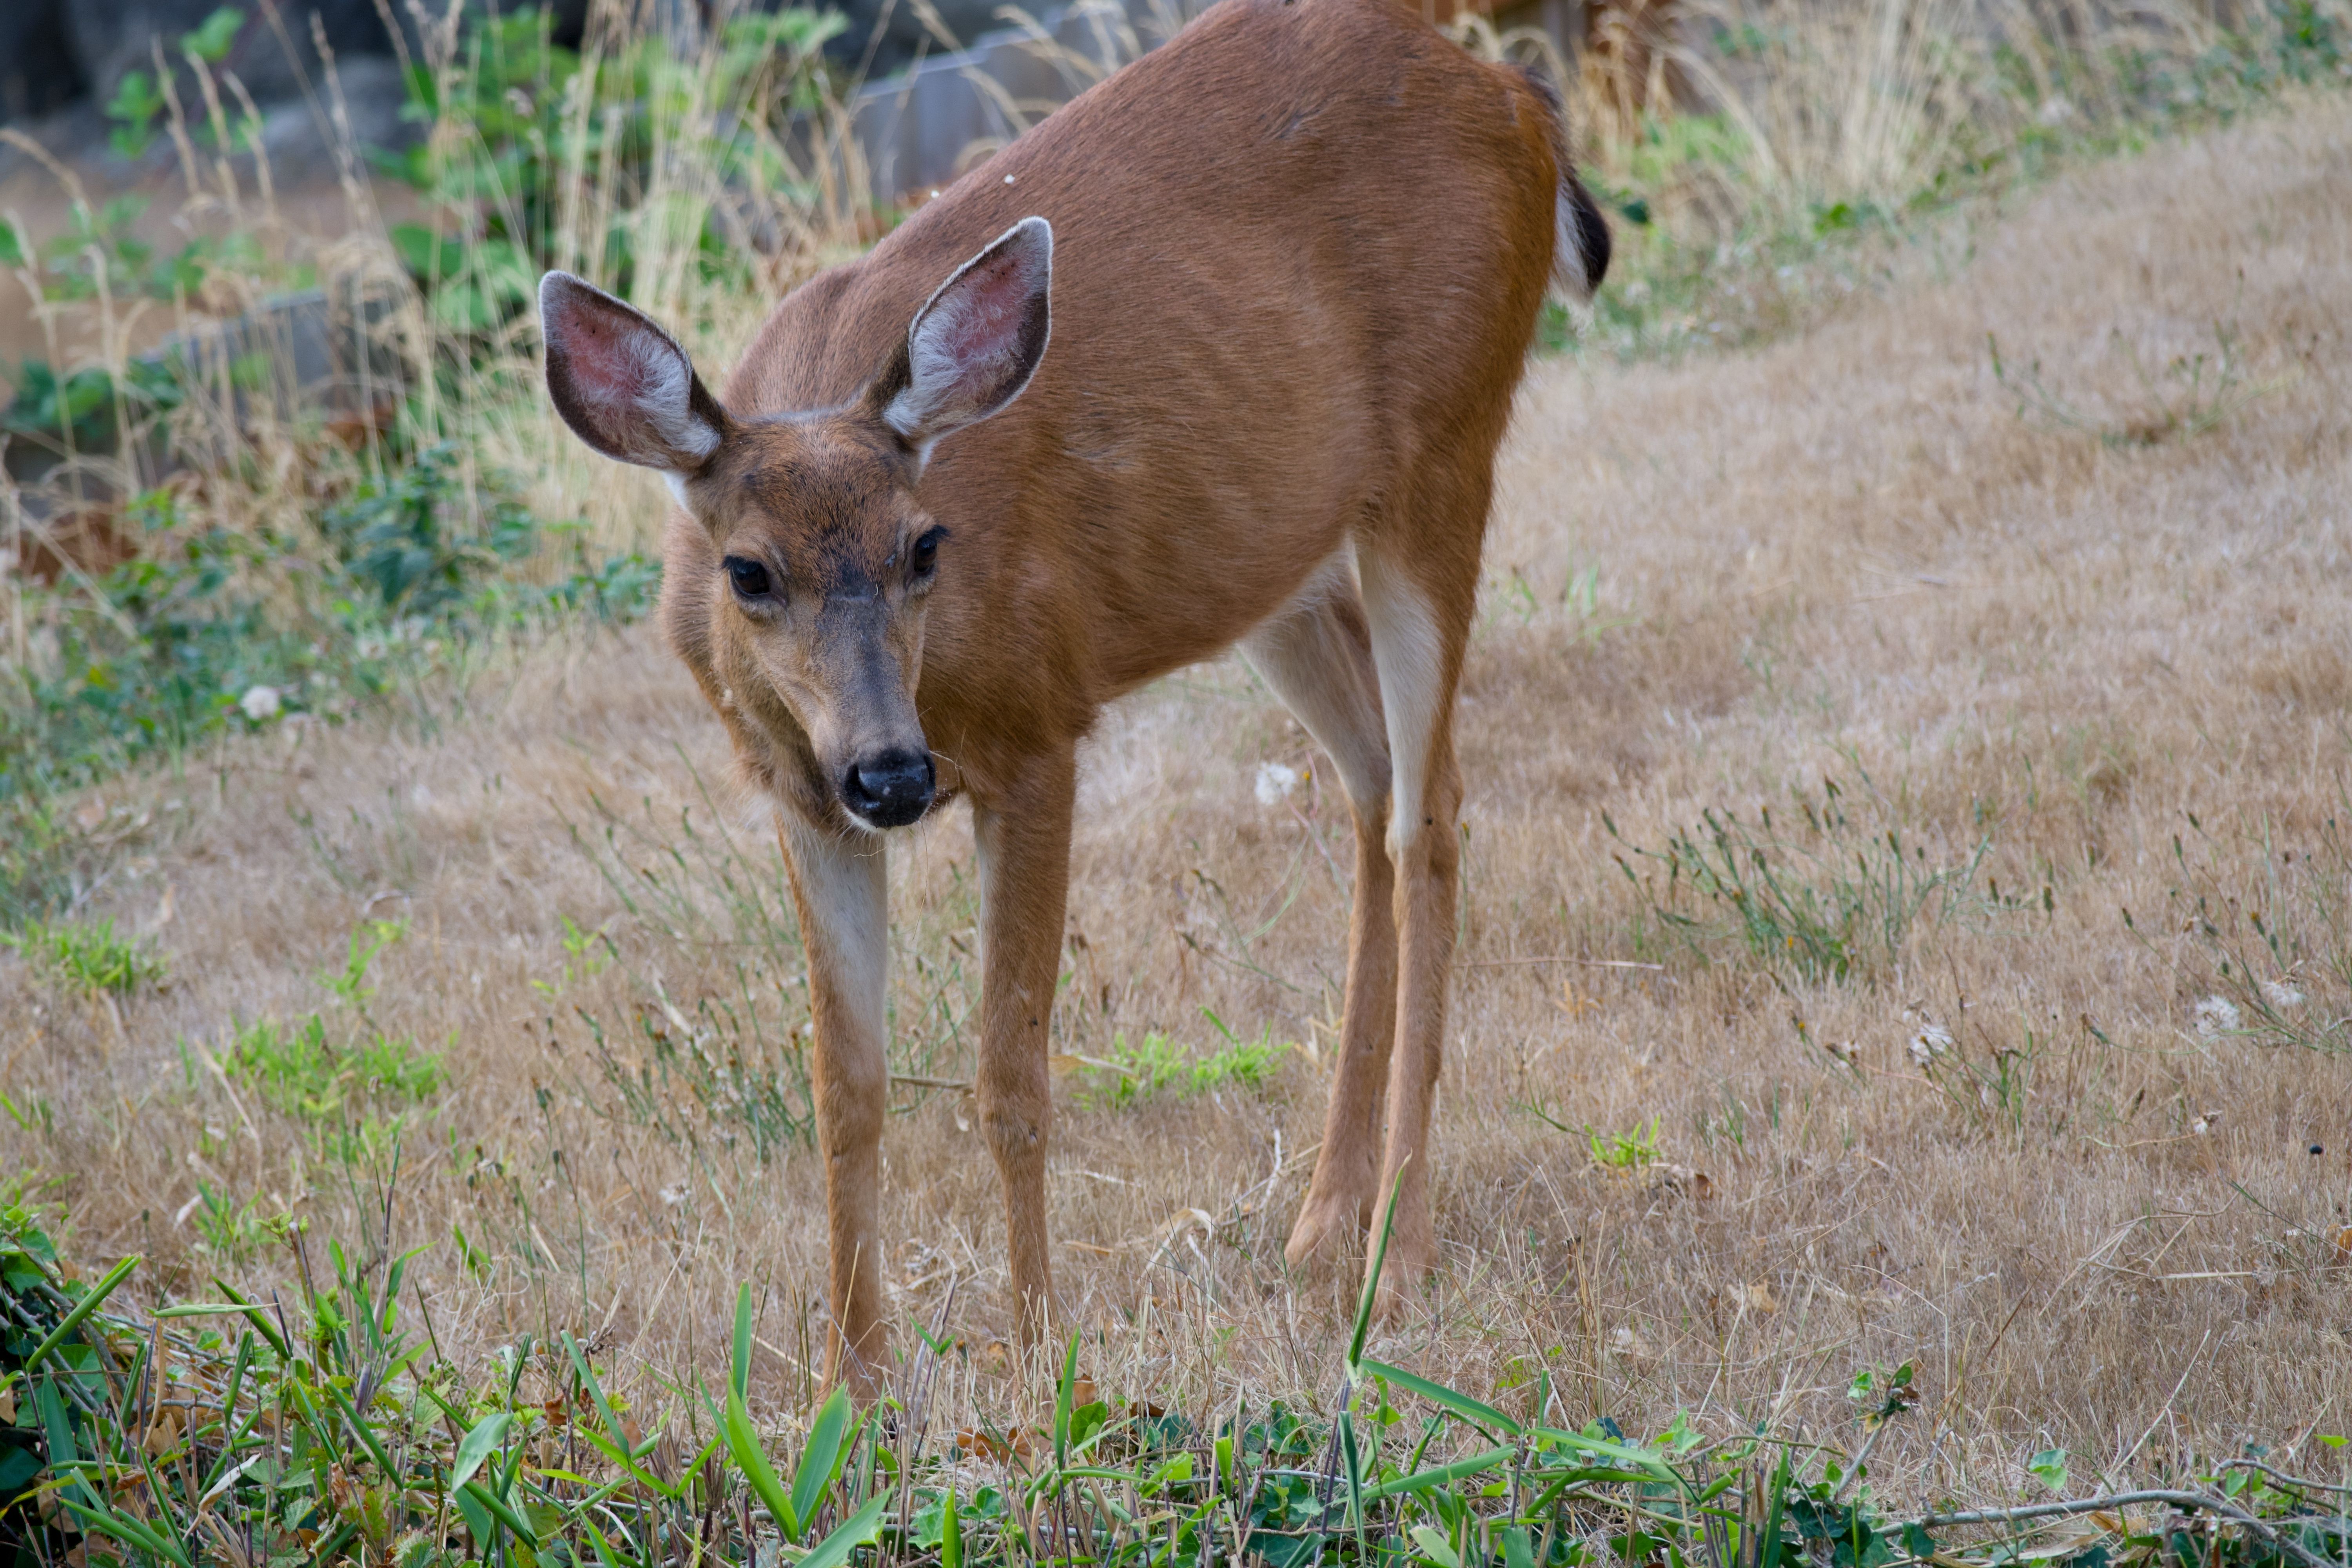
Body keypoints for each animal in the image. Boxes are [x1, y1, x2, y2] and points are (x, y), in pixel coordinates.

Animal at [538, 0, 1608, 1392]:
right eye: (748, 571)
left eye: (925, 547)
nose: (894, 773)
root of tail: (1518, 95)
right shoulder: (797, 796)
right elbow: (846, 1088)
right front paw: (852, 1383)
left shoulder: (1039, 734)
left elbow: (1011, 1076)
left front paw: (1042, 1353)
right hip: (1280, 567)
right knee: (1380, 791)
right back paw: (1320, 1220)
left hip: (1444, 451)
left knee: (1427, 820)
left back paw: (1397, 1244)